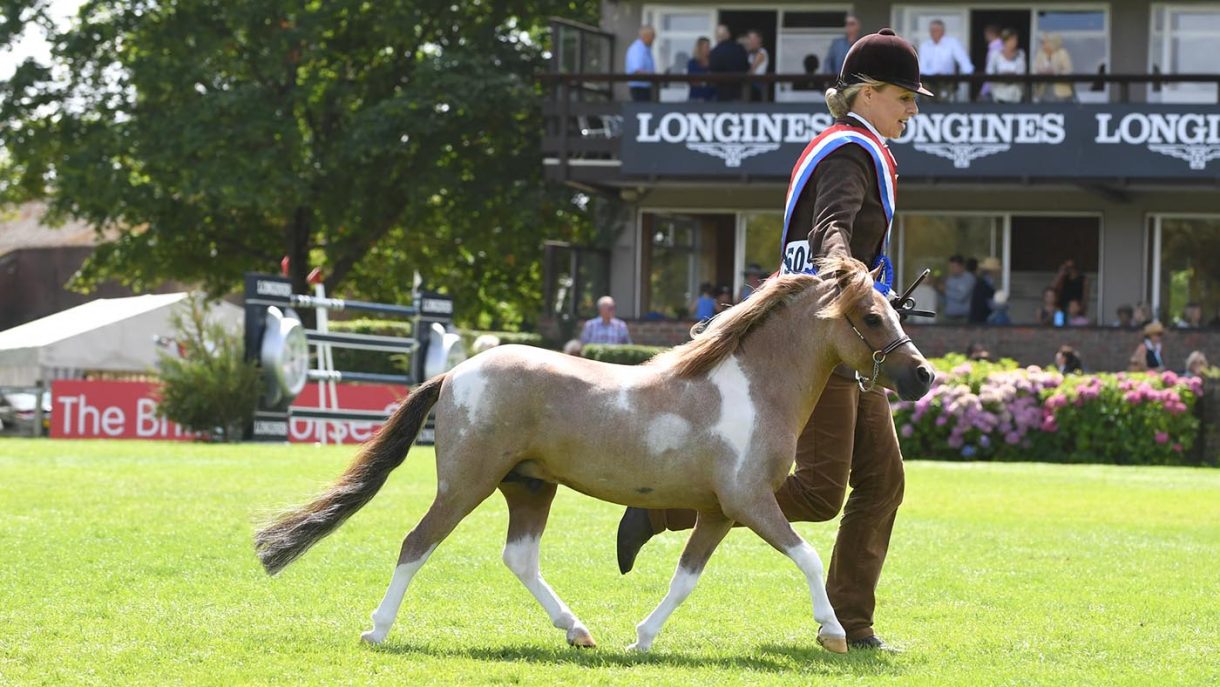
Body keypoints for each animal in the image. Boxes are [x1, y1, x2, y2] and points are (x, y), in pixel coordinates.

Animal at [254, 255, 935, 654]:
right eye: (872, 316)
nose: (924, 375)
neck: (751, 387)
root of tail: (454, 375)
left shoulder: (720, 511)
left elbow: (686, 577)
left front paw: (641, 640)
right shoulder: (750, 500)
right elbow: (809, 556)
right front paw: (835, 633)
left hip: (530, 485)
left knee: (518, 557)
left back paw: (578, 631)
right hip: (468, 483)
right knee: (416, 543)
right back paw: (377, 630)